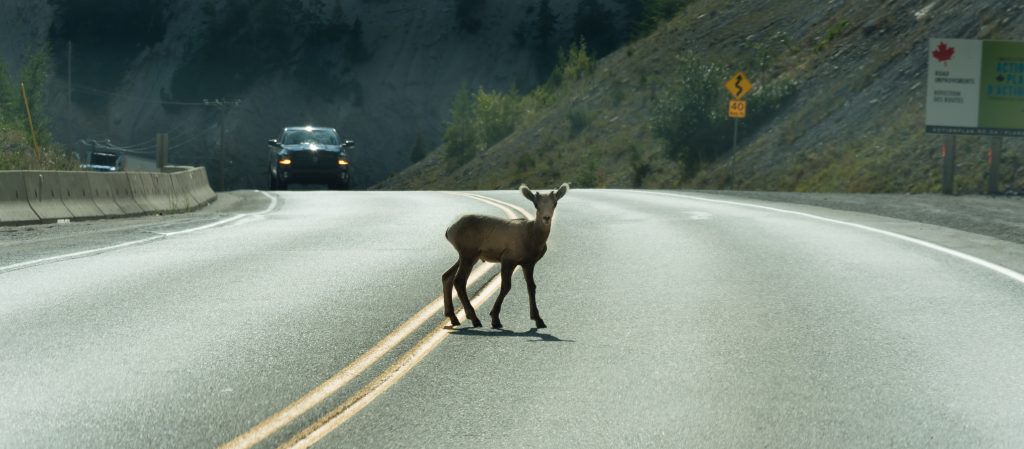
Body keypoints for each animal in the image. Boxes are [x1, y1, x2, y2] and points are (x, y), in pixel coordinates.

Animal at [441, 183, 569, 329]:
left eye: (555, 203)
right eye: (536, 204)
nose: (546, 218)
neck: (531, 236)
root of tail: (450, 230)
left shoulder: (528, 264)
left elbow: (531, 287)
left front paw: (538, 319)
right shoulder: (508, 260)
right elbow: (506, 286)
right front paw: (495, 319)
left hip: (466, 257)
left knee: (447, 276)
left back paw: (453, 318)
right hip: (468, 255)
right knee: (459, 281)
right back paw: (474, 319)